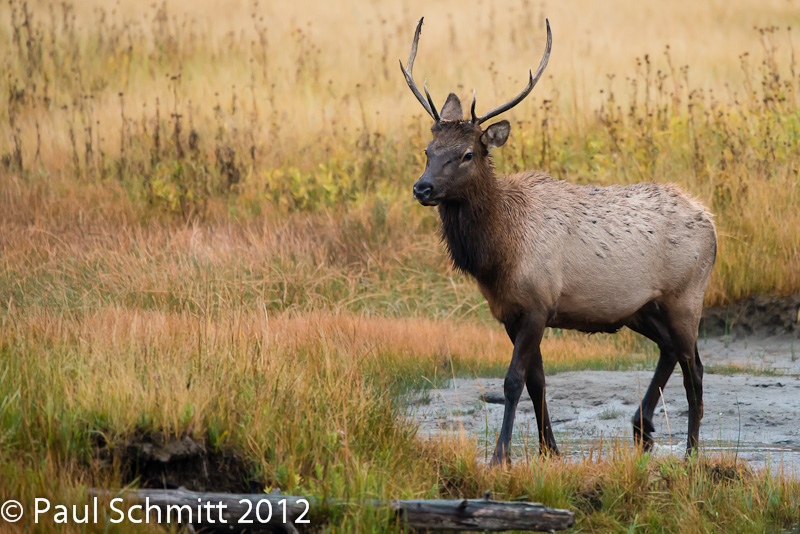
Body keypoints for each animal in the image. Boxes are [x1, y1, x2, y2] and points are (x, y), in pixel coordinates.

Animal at [400, 18, 717, 464]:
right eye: (428, 149)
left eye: (466, 154)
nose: (423, 188)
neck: (499, 255)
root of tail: (711, 220)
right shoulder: (509, 312)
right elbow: (538, 381)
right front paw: (549, 449)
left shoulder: (538, 303)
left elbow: (513, 380)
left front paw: (501, 455)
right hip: (640, 307)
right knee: (671, 351)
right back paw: (642, 428)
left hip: (686, 296)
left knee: (695, 369)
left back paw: (689, 453)